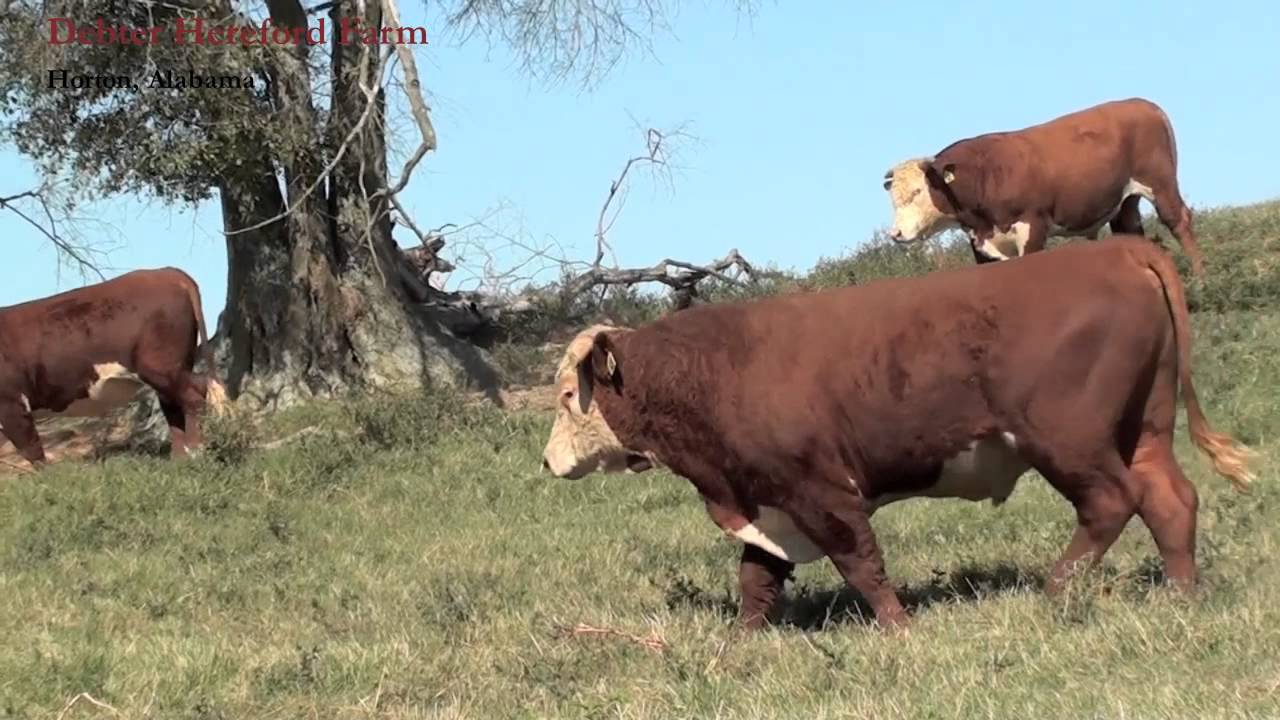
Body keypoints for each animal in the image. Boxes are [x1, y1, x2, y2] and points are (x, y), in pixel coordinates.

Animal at [0, 267, 227, 468]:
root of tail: (168, 272)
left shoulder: (11, 403)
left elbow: (32, 451)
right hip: (170, 370)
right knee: (174, 408)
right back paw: (180, 459)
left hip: (162, 368)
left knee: (195, 395)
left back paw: (196, 452)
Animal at [541, 237, 1252, 632]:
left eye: (568, 395)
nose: (547, 462)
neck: (712, 372)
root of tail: (1116, 248)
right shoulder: (769, 499)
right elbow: (756, 580)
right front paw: (740, 644)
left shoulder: (819, 491)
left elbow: (861, 561)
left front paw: (900, 628)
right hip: (1143, 429)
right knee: (1169, 500)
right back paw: (1182, 594)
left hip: (1067, 439)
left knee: (1111, 502)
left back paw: (1054, 590)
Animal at [882, 98, 1206, 276]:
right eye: (893, 200)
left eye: (917, 192)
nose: (895, 234)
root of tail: (1143, 104)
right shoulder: (981, 243)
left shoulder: (1032, 226)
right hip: (1125, 201)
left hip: (1160, 183)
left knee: (1178, 221)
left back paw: (1201, 278)